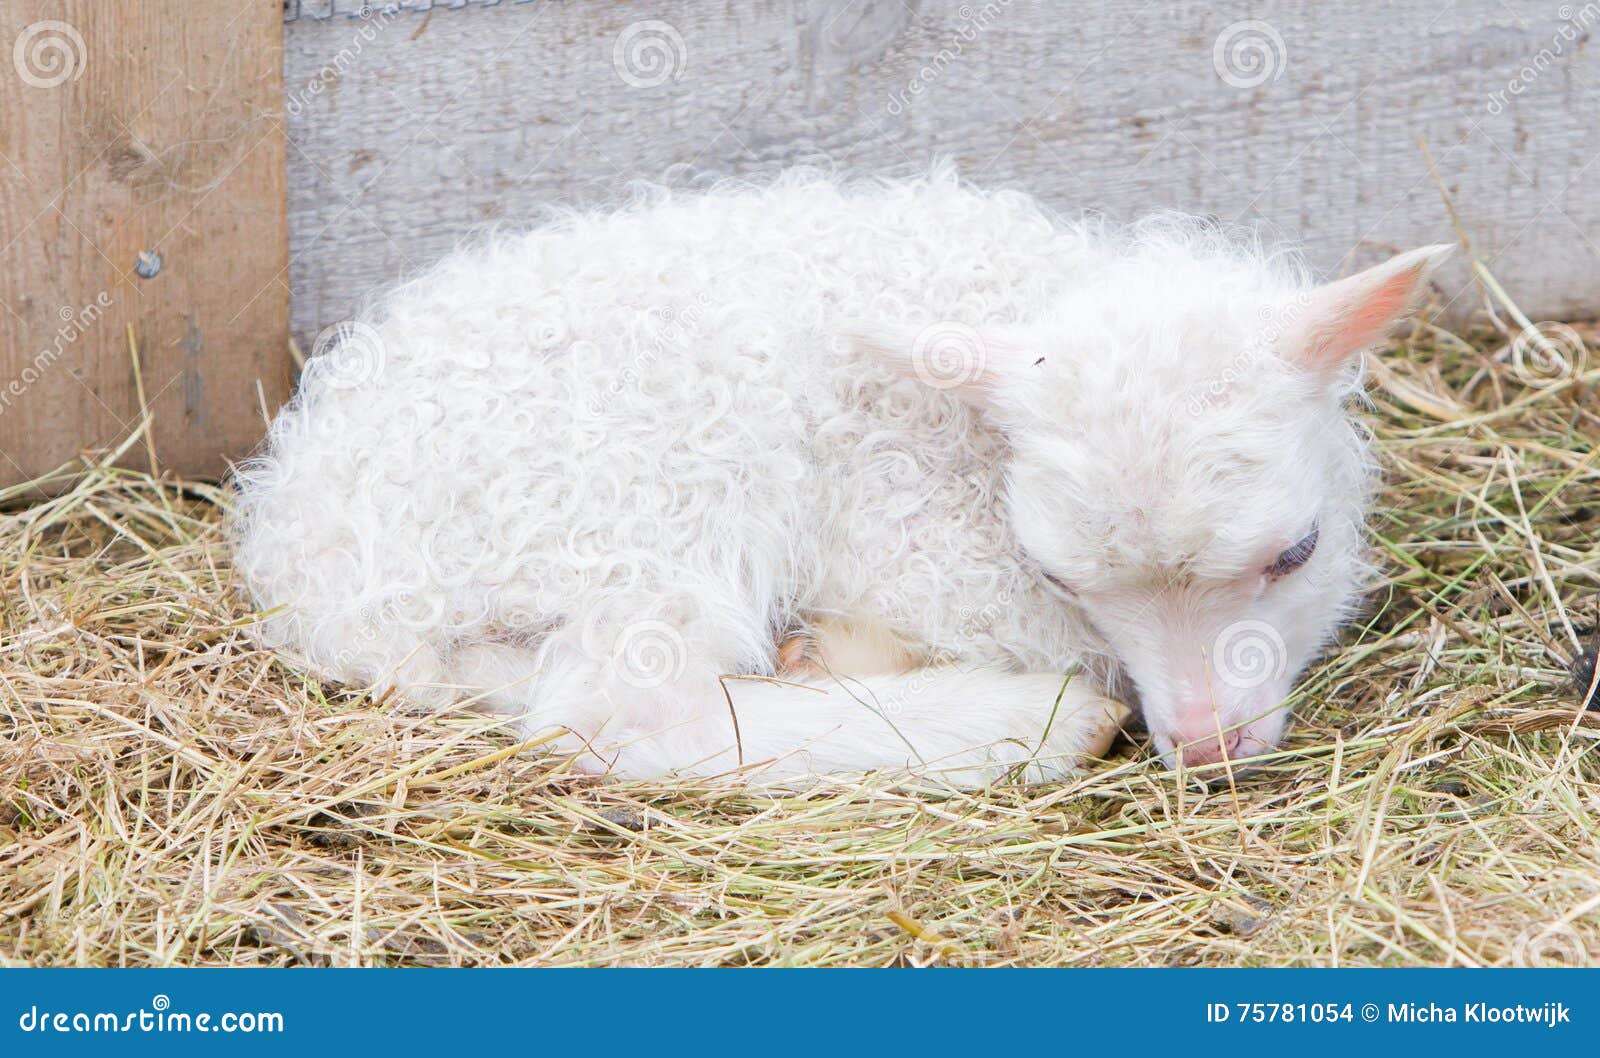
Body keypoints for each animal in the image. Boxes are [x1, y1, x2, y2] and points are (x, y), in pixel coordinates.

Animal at [232, 169, 1447, 786]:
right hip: (648, 498)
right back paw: (1032, 723)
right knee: (627, 716)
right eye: (1060, 576)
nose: (1205, 748)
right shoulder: (912, 537)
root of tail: (308, 559)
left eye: (1295, 551)